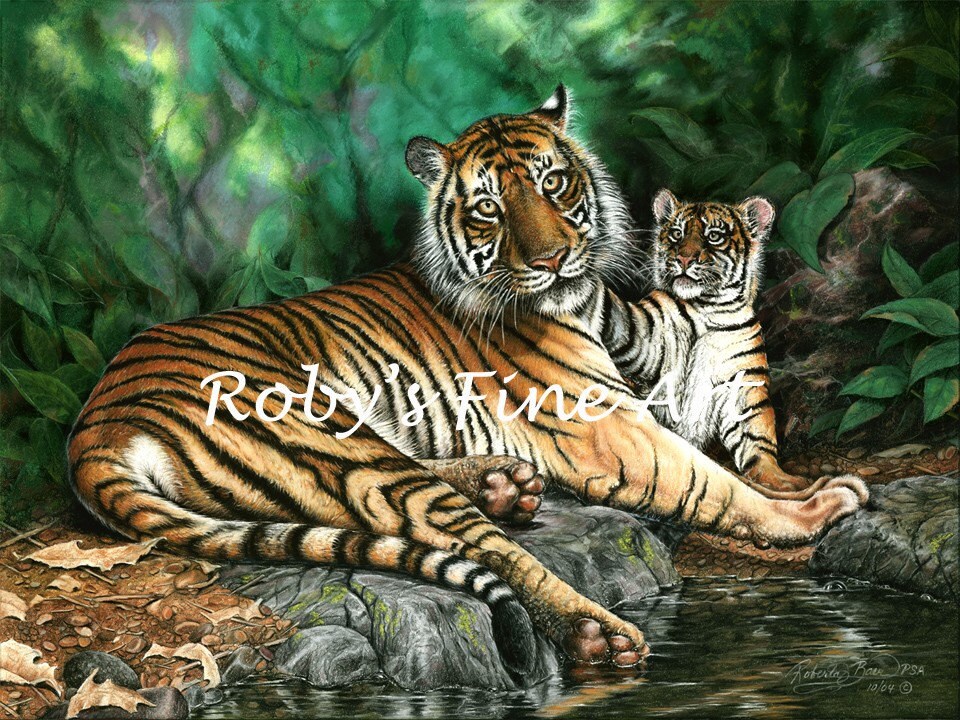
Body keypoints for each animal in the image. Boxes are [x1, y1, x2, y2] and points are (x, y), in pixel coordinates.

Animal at [598, 190, 807, 492]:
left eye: (714, 236)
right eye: (676, 234)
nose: (684, 259)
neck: (709, 310)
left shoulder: (743, 384)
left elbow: (757, 435)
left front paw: (779, 479)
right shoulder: (644, 341)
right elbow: (619, 316)